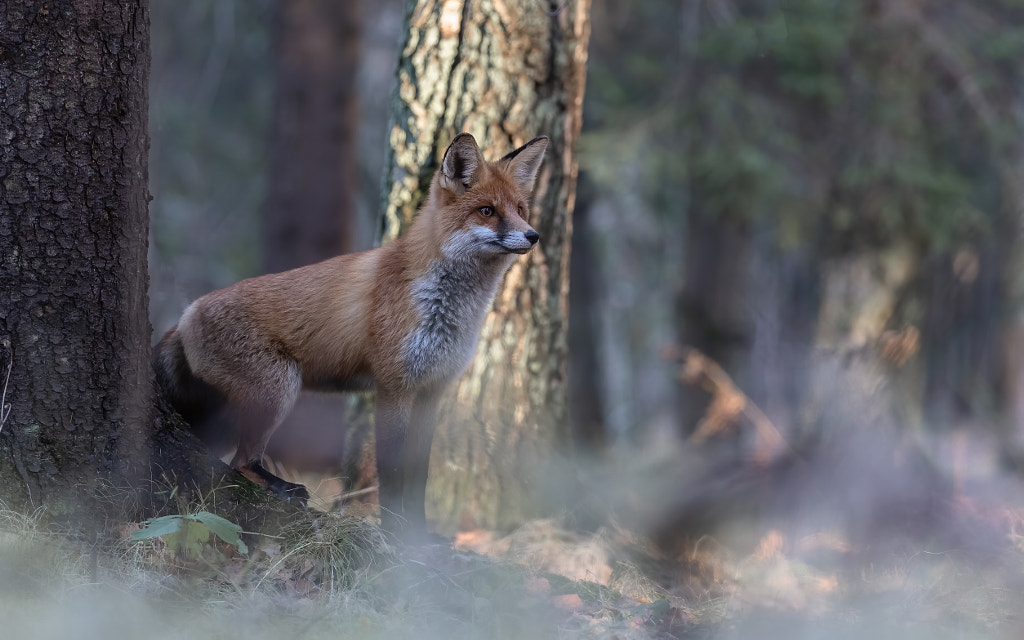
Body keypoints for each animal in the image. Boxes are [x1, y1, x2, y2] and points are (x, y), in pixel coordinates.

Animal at [155, 133, 548, 534]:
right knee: (242, 462)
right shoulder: (393, 387)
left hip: (228, 414)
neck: (447, 309)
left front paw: (420, 533)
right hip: (277, 390)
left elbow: (418, 476)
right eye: (487, 211)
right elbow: (392, 472)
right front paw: (395, 533)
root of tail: (185, 314)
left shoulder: (431, 391)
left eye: (520, 209)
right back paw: (284, 489)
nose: (533, 236)